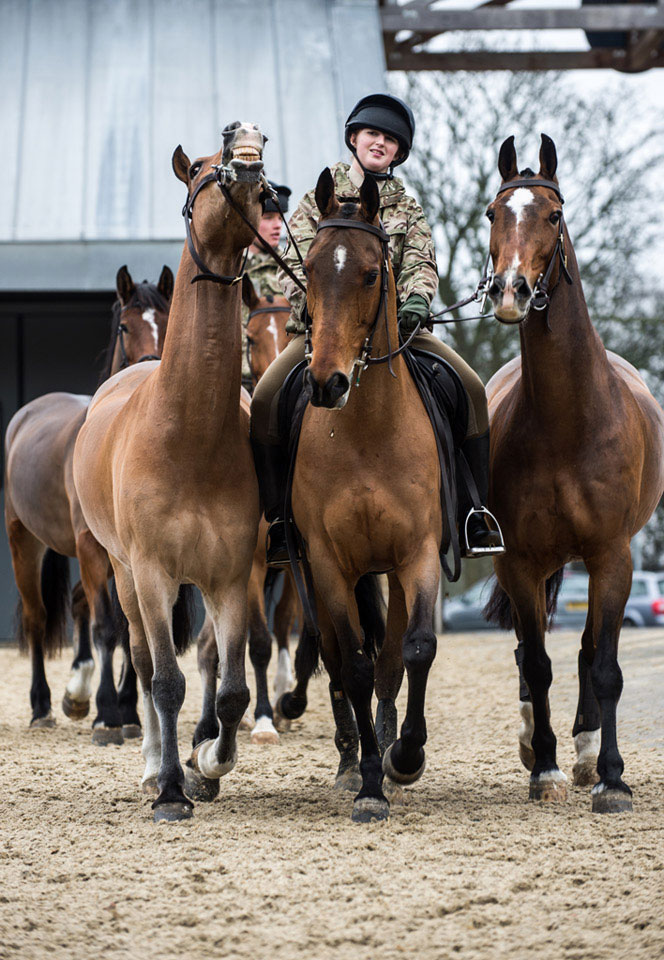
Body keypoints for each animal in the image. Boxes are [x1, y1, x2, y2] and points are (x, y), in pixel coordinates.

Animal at [4, 265, 172, 741]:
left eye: (167, 318)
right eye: (124, 326)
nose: (151, 368)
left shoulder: (133, 556)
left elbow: (131, 629)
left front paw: (130, 710)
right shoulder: (95, 549)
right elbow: (107, 627)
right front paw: (108, 713)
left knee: (79, 603)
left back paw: (76, 694)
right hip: (24, 540)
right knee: (38, 617)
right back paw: (42, 705)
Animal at [73, 122, 265, 822]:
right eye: (206, 168)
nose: (247, 154)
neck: (189, 436)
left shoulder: (232, 576)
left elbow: (231, 688)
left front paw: (209, 764)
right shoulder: (152, 573)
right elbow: (164, 680)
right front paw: (172, 791)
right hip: (123, 574)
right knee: (139, 655)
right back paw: (154, 765)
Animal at [284, 169, 450, 823]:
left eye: (372, 273)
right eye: (310, 271)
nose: (327, 383)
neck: (366, 432)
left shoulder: (417, 553)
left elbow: (416, 650)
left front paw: (406, 756)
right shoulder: (330, 565)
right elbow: (352, 665)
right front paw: (372, 783)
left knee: (392, 661)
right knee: (339, 660)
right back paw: (353, 758)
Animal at [484, 134, 664, 813]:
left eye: (553, 215)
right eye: (493, 212)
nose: (510, 290)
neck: (568, 421)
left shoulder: (612, 554)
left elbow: (605, 665)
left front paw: (610, 776)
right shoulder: (518, 560)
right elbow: (536, 662)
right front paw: (545, 767)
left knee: (589, 650)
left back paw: (588, 751)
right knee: (527, 652)